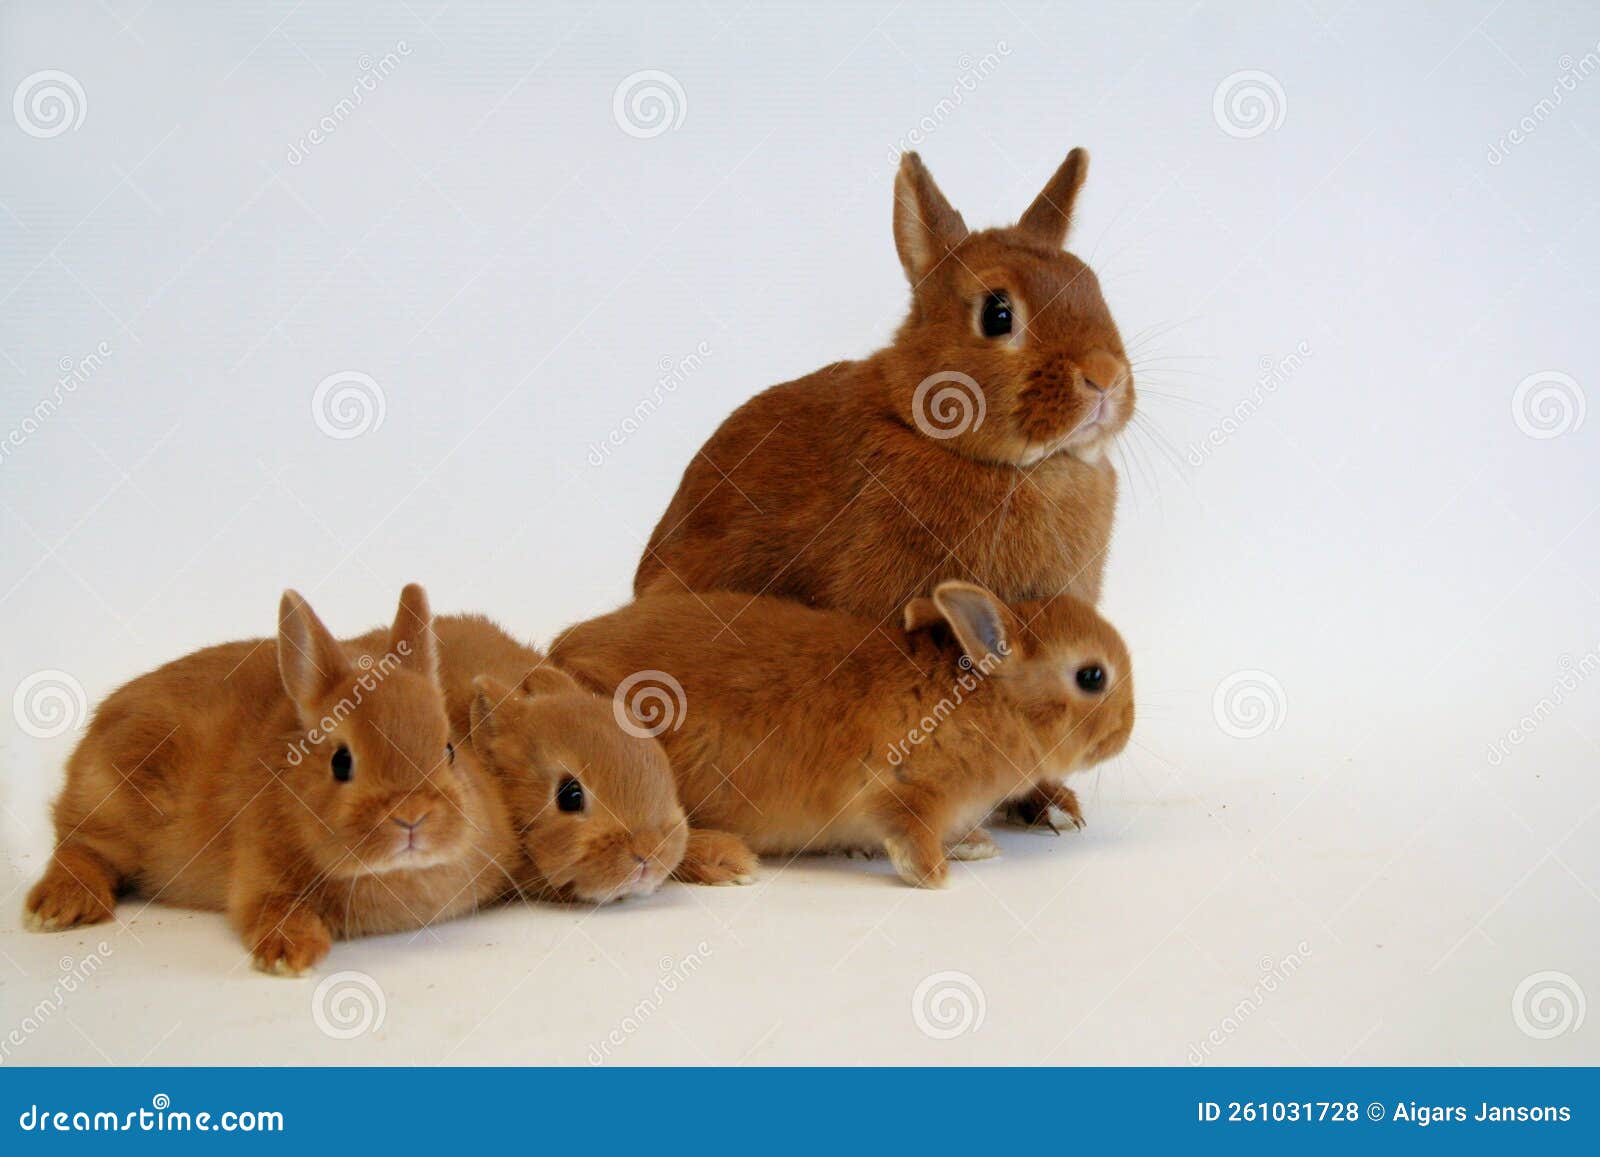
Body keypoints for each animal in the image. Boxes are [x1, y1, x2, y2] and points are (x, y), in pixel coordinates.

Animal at [23, 585, 518, 976]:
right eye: (341, 761)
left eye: (448, 749)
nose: (412, 816)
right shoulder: (256, 873)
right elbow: (271, 911)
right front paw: (291, 956)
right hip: (111, 801)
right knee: (79, 847)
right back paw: (59, 908)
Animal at [550, 580, 1134, 888]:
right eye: (1092, 677)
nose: (1126, 731)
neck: (988, 706)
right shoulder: (904, 790)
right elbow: (909, 832)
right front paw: (936, 875)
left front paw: (978, 845)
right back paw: (728, 862)